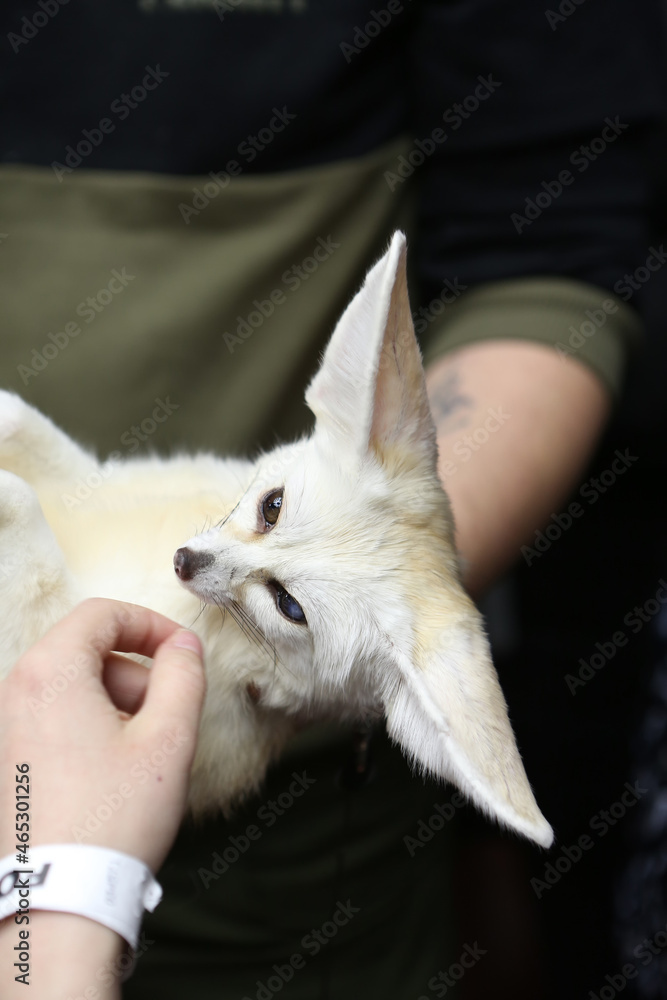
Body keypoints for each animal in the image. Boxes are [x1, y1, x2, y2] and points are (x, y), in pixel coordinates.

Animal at [0, 231, 553, 848]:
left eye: (289, 606)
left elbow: (20, 501)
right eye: (272, 507)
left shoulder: (53, 640)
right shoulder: (97, 482)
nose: (183, 561)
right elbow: (22, 425)